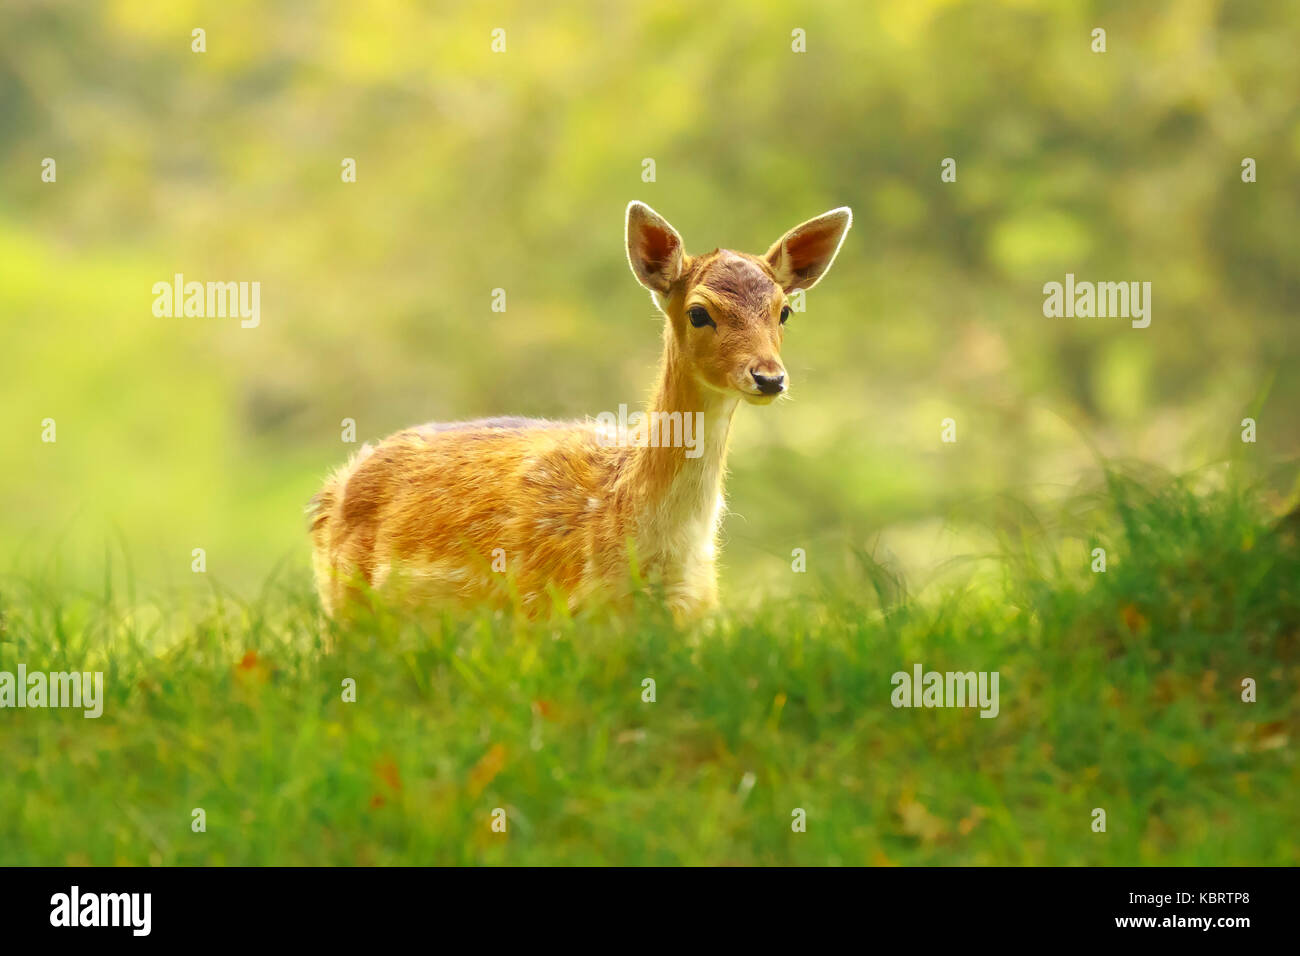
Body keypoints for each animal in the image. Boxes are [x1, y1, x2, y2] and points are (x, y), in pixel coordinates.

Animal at [309, 201, 852, 619]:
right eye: (699, 312)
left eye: (784, 311)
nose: (769, 377)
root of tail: (332, 489)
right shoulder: (536, 609)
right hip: (346, 604)